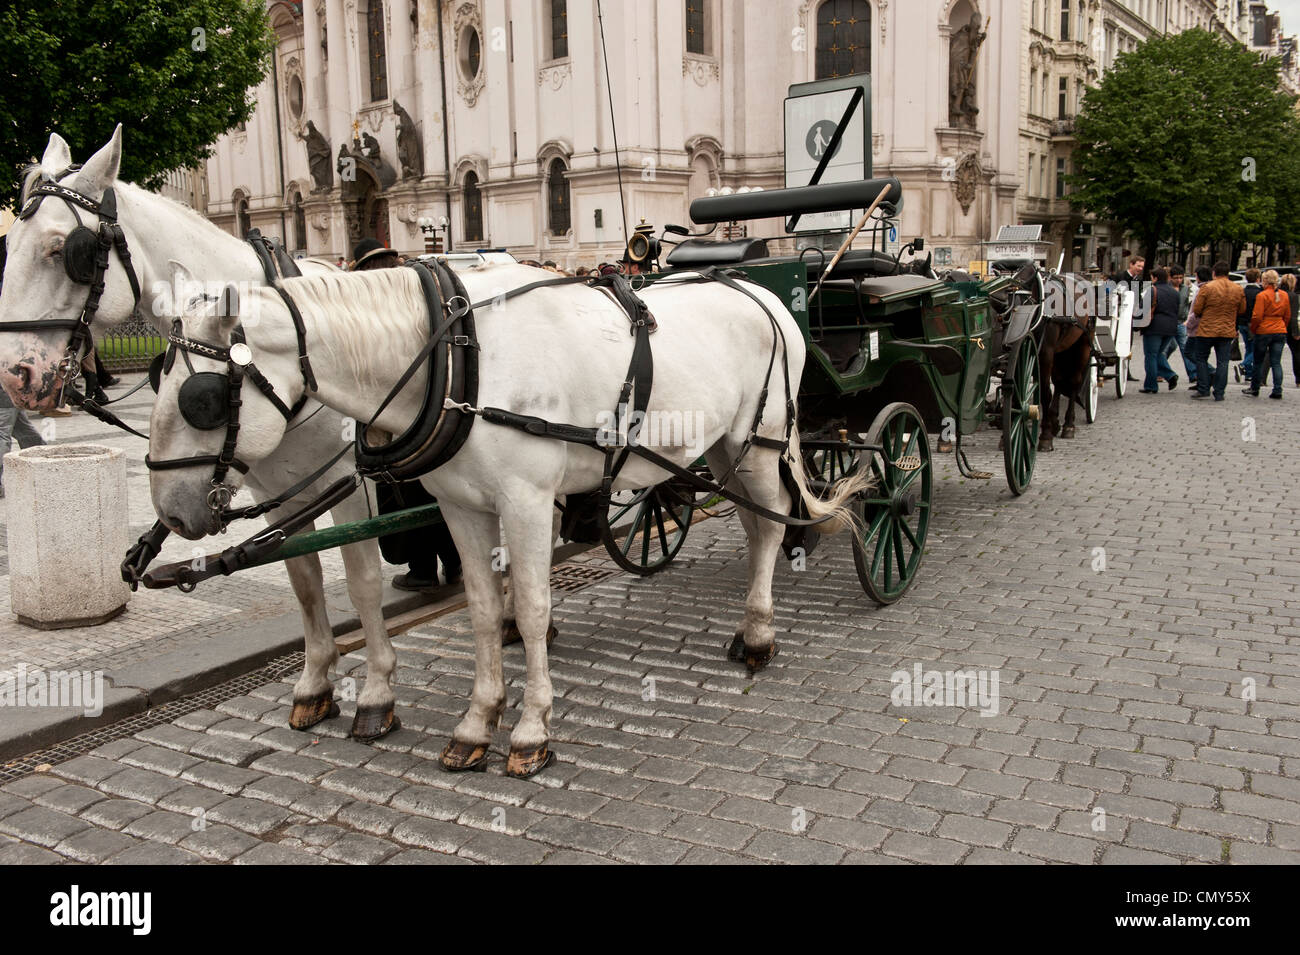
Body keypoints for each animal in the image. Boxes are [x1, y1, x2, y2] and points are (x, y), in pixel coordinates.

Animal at [0, 128, 396, 740]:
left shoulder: (348, 483)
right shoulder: (277, 489)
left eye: (63, 250)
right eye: (9, 244)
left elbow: (363, 579)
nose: (14, 376)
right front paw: (315, 684)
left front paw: (377, 692)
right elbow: (304, 578)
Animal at [146, 263, 869, 776]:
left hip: (762, 439)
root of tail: (759, 291)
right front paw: (477, 722)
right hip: (720, 448)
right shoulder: (463, 507)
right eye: (159, 377)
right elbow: (484, 608)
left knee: (771, 527)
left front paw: (530, 731)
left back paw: (758, 634)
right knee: (752, 528)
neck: (459, 359)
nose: (170, 511)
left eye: (201, 399)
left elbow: (533, 602)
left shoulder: (526, 500)